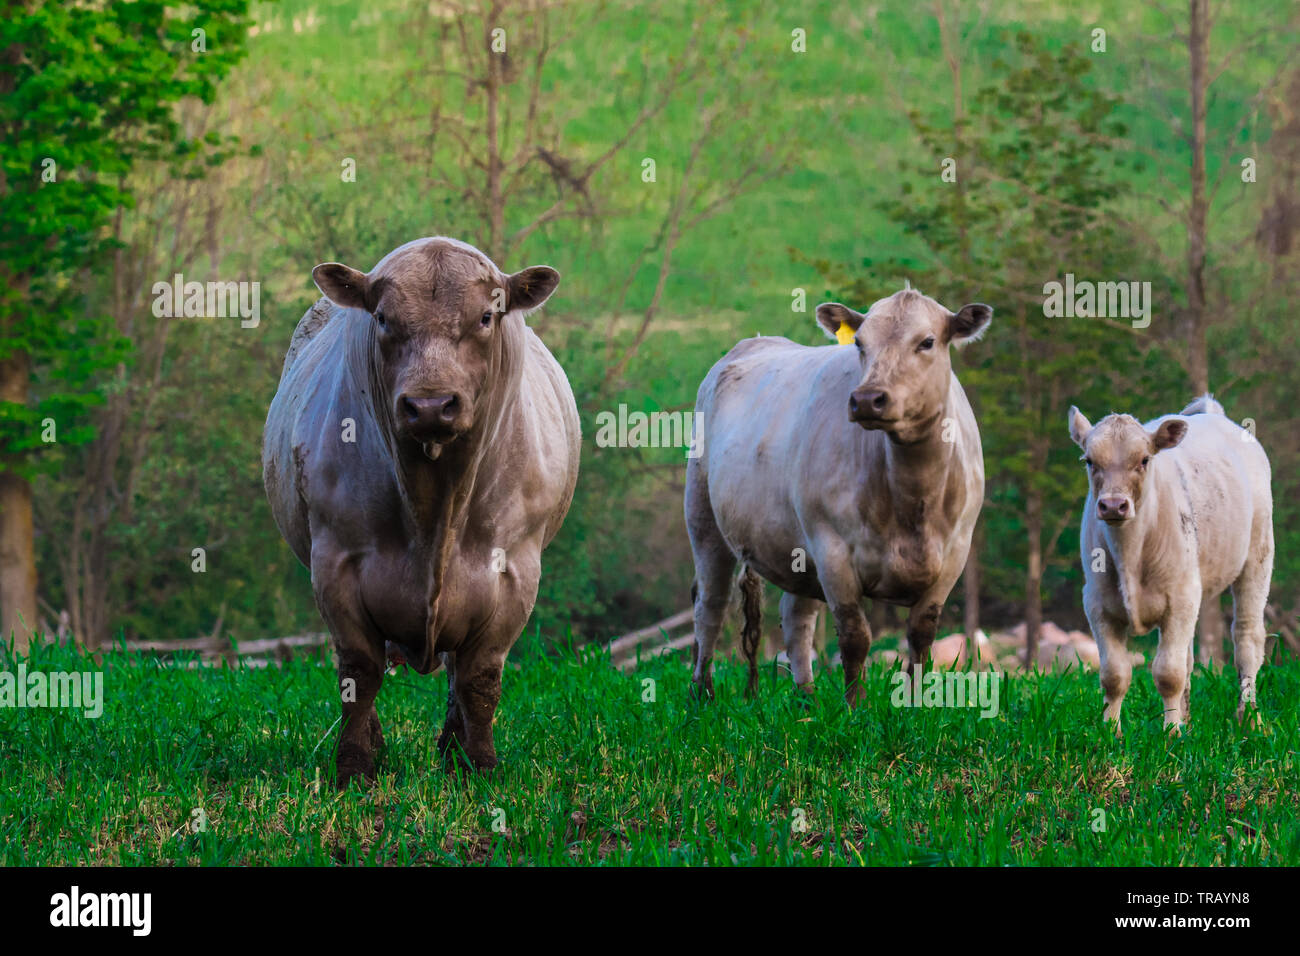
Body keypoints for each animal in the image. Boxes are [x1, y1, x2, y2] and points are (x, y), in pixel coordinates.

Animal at [262, 237, 580, 786]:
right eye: (383, 318)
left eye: (486, 317)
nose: (431, 406)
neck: (435, 503)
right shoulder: (336, 563)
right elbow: (359, 673)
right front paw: (355, 766)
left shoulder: (515, 570)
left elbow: (480, 678)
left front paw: (479, 766)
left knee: (456, 669)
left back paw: (454, 748)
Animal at [685, 287, 992, 703]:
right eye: (860, 343)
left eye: (927, 342)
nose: (867, 399)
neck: (912, 499)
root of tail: (754, 342)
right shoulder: (832, 549)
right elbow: (854, 637)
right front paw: (855, 707)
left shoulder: (954, 554)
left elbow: (921, 637)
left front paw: (916, 704)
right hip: (704, 518)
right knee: (710, 607)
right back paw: (701, 693)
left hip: (795, 548)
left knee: (796, 618)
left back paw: (806, 697)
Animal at [1068, 395, 1273, 733]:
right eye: (1089, 461)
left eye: (1144, 460)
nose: (1113, 505)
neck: (1130, 553)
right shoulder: (1097, 603)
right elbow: (1114, 675)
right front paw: (1110, 733)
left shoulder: (1179, 598)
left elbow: (1168, 673)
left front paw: (1171, 734)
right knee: (1189, 656)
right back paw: (1188, 718)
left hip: (1258, 554)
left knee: (1247, 640)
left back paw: (1249, 719)